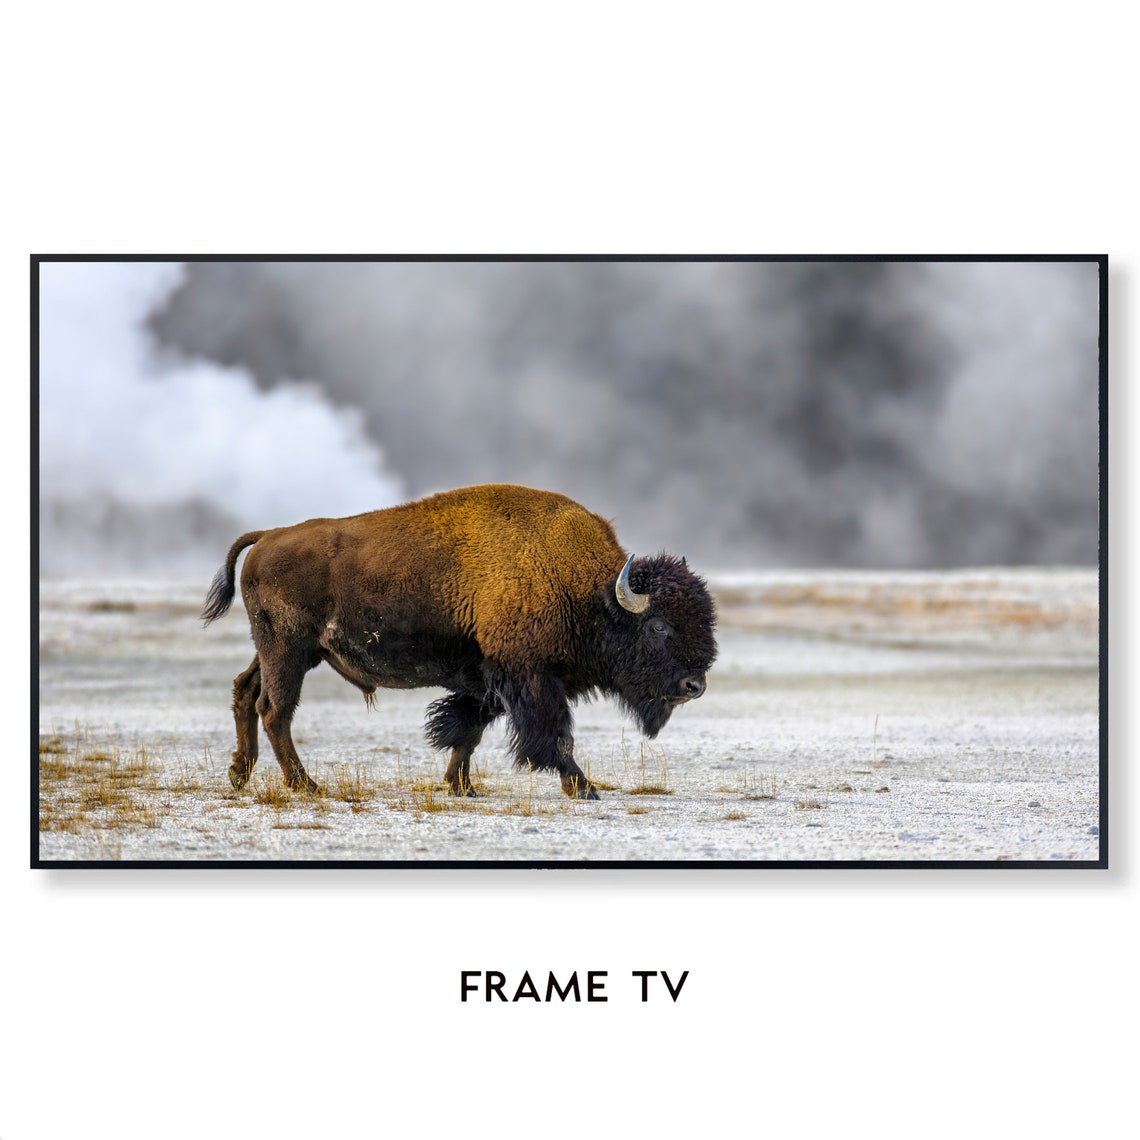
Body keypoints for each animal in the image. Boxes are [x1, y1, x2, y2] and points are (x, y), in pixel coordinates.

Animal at [202, 484, 716, 799]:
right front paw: (584, 787)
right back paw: (305, 785)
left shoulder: (486, 678)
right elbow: (556, 736)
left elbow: (468, 731)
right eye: (658, 626)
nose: (695, 686)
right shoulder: (529, 678)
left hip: (283, 651)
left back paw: (239, 774)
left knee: (246, 691)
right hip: (288, 651)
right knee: (275, 709)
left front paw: (461, 786)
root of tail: (268, 536)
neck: (585, 590)